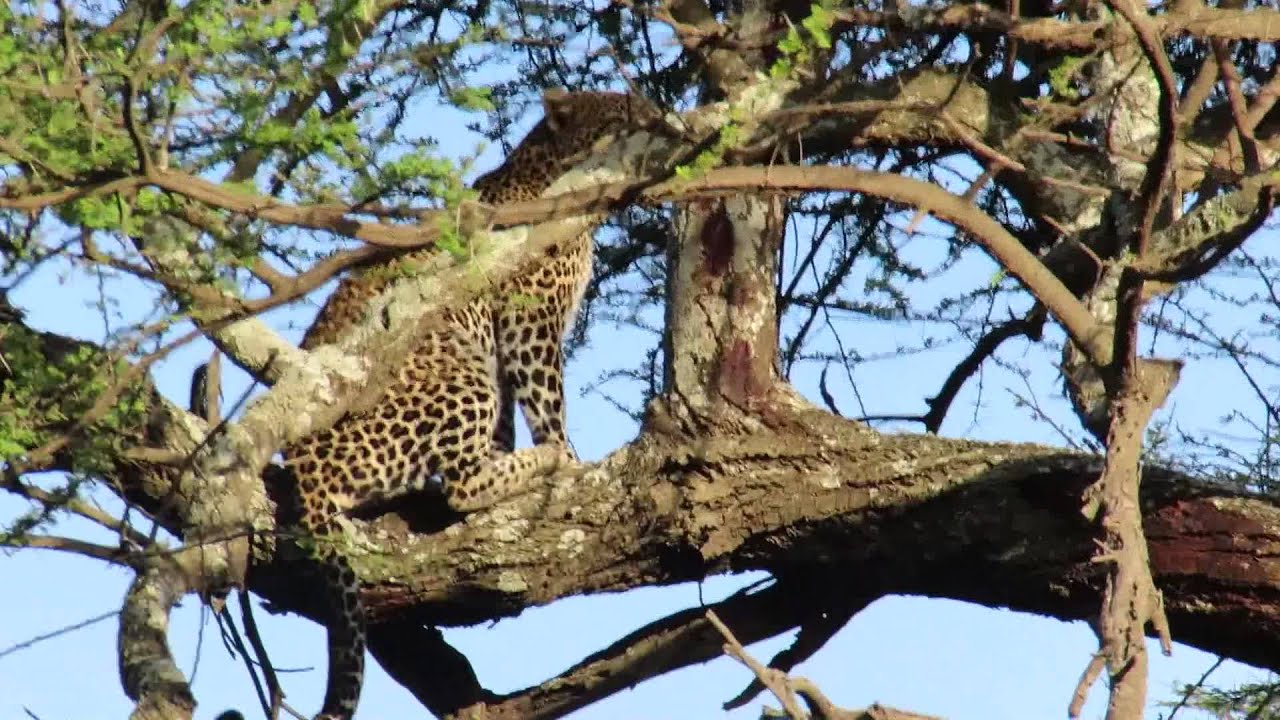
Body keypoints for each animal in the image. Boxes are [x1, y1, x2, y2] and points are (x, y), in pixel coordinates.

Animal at [281, 88, 662, 720]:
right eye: (621, 117)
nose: (660, 123)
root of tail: (303, 466)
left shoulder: (504, 349)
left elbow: (509, 424)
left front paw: (522, 455)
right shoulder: (530, 320)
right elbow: (548, 404)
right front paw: (569, 459)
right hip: (457, 366)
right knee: (459, 487)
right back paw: (543, 465)